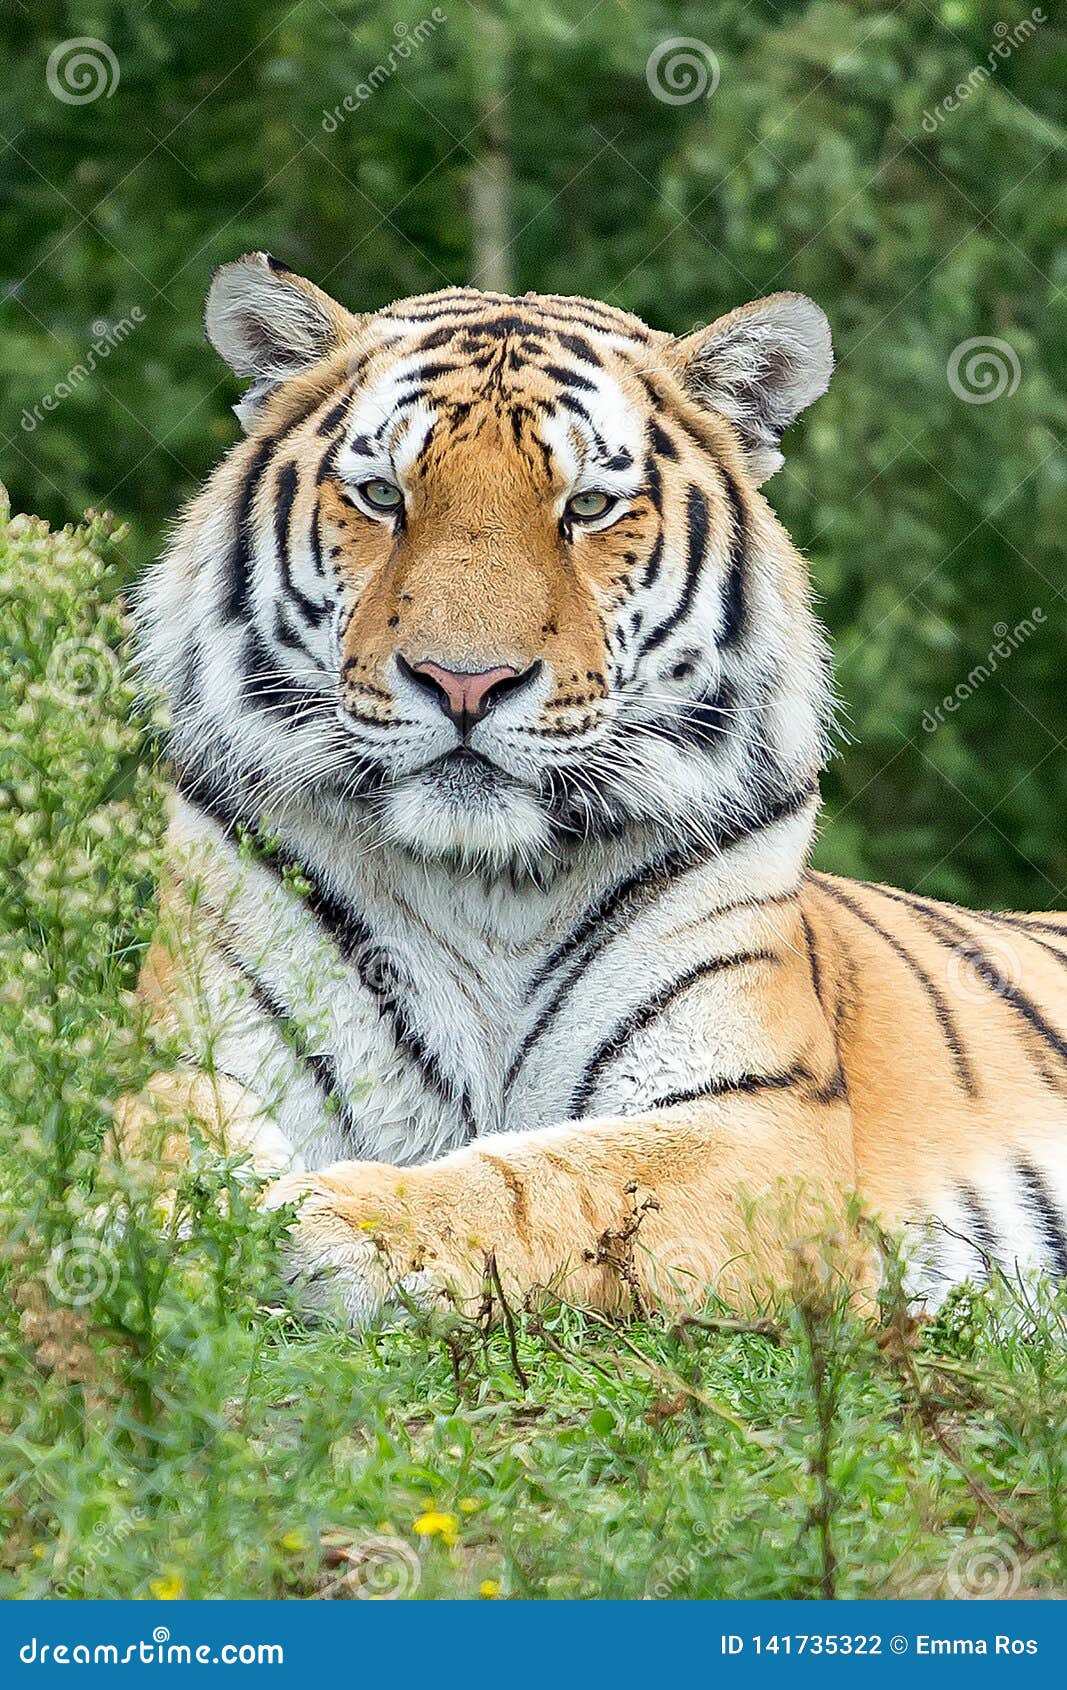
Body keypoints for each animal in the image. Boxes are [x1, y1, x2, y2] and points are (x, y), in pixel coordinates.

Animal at [127, 251, 1067, 1326]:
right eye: (380, 495)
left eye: (585, 508)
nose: (463, 681)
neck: (482, 879)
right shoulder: (195, 1047)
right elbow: (150, 1129)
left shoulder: (762, 1127)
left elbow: (553, 1179)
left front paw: (343, 1222)